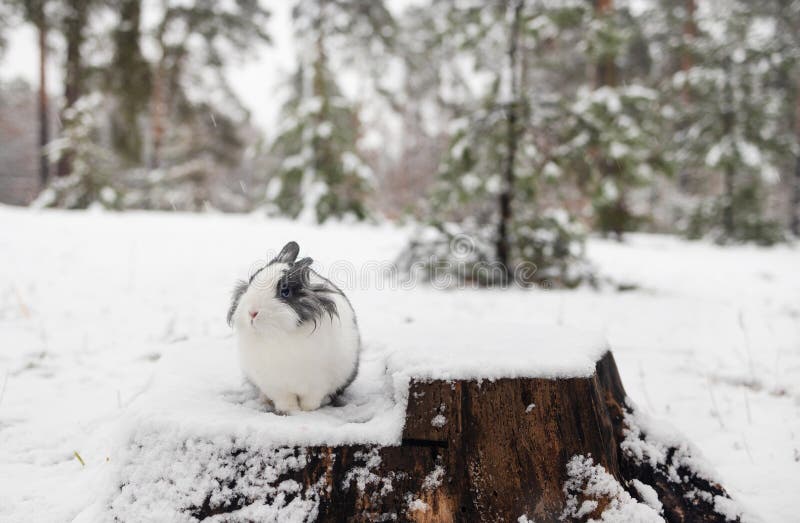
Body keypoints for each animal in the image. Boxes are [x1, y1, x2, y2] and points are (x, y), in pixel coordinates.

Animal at [227, 241, 360, 413]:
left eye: (285, 291)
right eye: (251, 280)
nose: (252, 312)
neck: (279, 335)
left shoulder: (318, 384)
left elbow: (311, 401)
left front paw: (306, 411)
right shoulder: (276, 386)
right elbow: (285, 401)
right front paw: (290, 411)